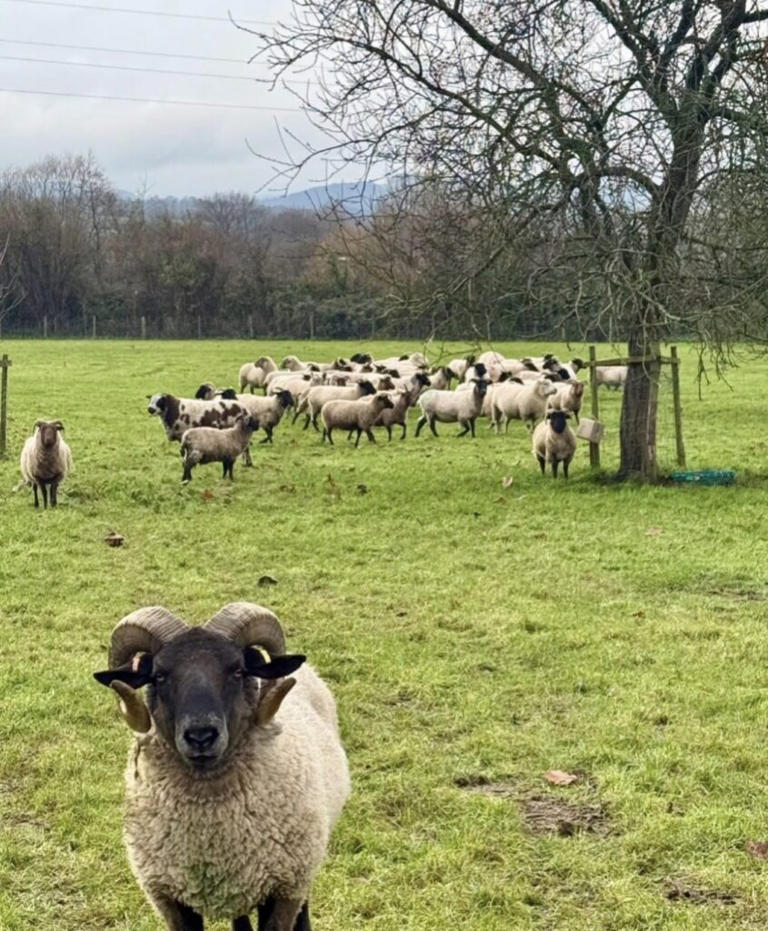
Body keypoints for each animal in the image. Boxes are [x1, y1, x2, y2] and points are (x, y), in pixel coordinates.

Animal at [93, 601, 350, 931]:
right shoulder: (169, 897)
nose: (201, 735)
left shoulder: (284, 887)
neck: (213, 843)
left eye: (238, 671)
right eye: (159, 676)